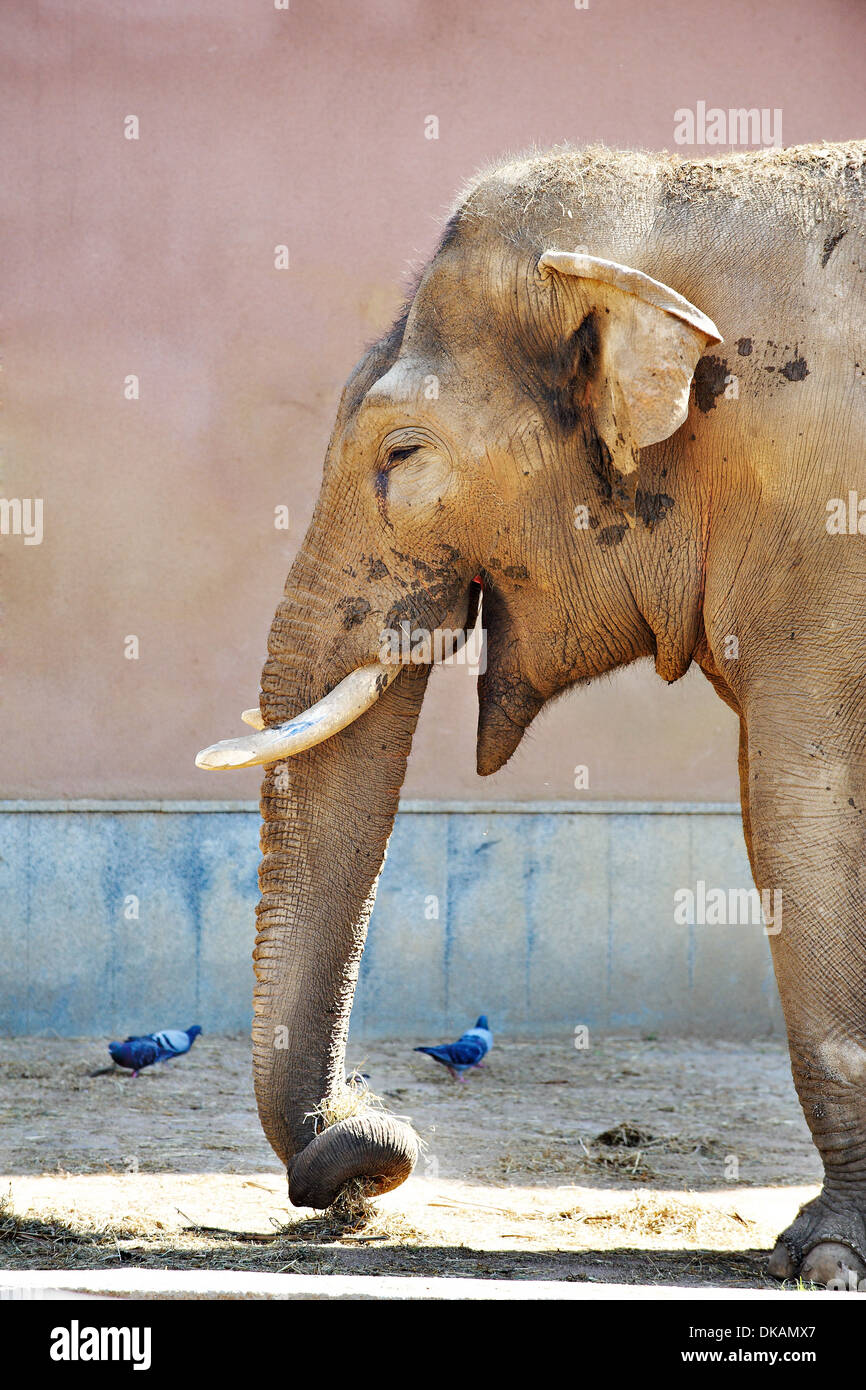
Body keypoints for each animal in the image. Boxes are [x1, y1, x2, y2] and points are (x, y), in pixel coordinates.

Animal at [197, 140, 866, 1286]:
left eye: (402, 453)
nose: (370, 1152)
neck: (689, 194)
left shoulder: (822, 531)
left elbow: (801, 810)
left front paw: (823, 1257)